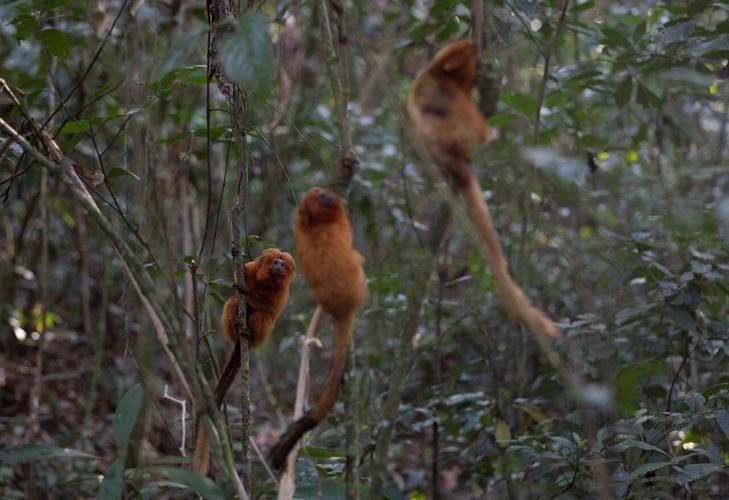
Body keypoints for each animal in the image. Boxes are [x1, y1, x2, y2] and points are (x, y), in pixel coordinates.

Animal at [193, 248, 296, 476]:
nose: (278, 267)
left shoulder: (282, 293)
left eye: (283, 265)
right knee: (232, 303)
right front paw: (234, 256)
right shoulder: (250, 268)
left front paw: (248, 293)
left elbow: (269, 307)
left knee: (263, 316)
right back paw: (238, 323)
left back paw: (248, 332)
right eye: (275, 262)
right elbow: (237, 277)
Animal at [269, 187, 367, 470]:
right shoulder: (341, 224)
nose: (327, 195)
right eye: (322, 195)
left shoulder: (300, 223)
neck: (319, 223)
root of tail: (343, 307)